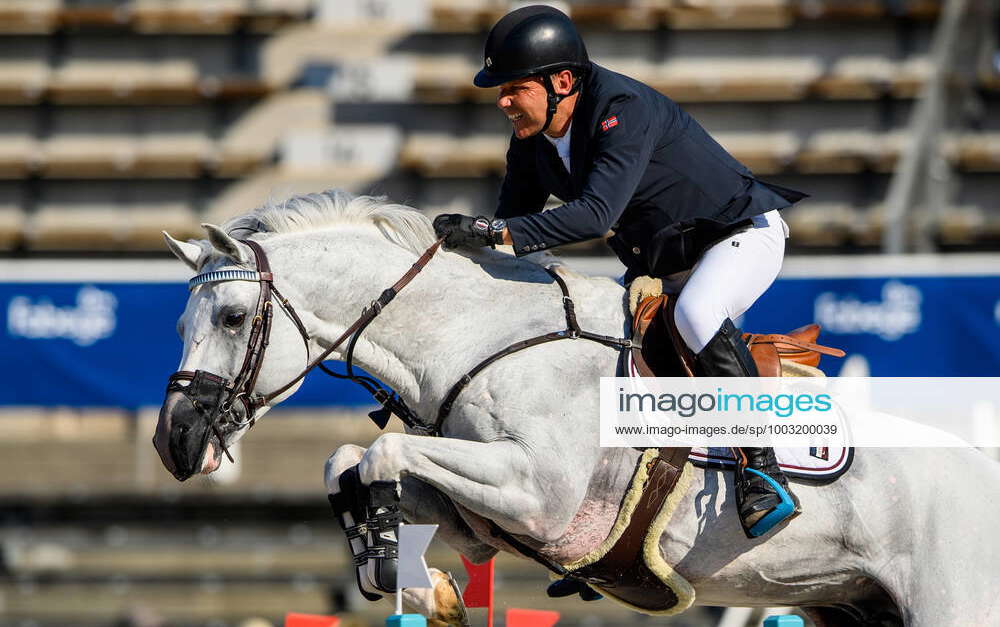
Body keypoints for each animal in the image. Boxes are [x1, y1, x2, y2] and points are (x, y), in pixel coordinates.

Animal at [153, 190, 1000, 626]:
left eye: (232, 317)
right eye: (181, 321)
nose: (175, 443)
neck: (481, 336)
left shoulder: (538, 491)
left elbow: (384, 451)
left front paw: (398, 564)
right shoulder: (485, 503)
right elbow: (347, 461)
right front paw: (411, 575)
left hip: (953, 604)